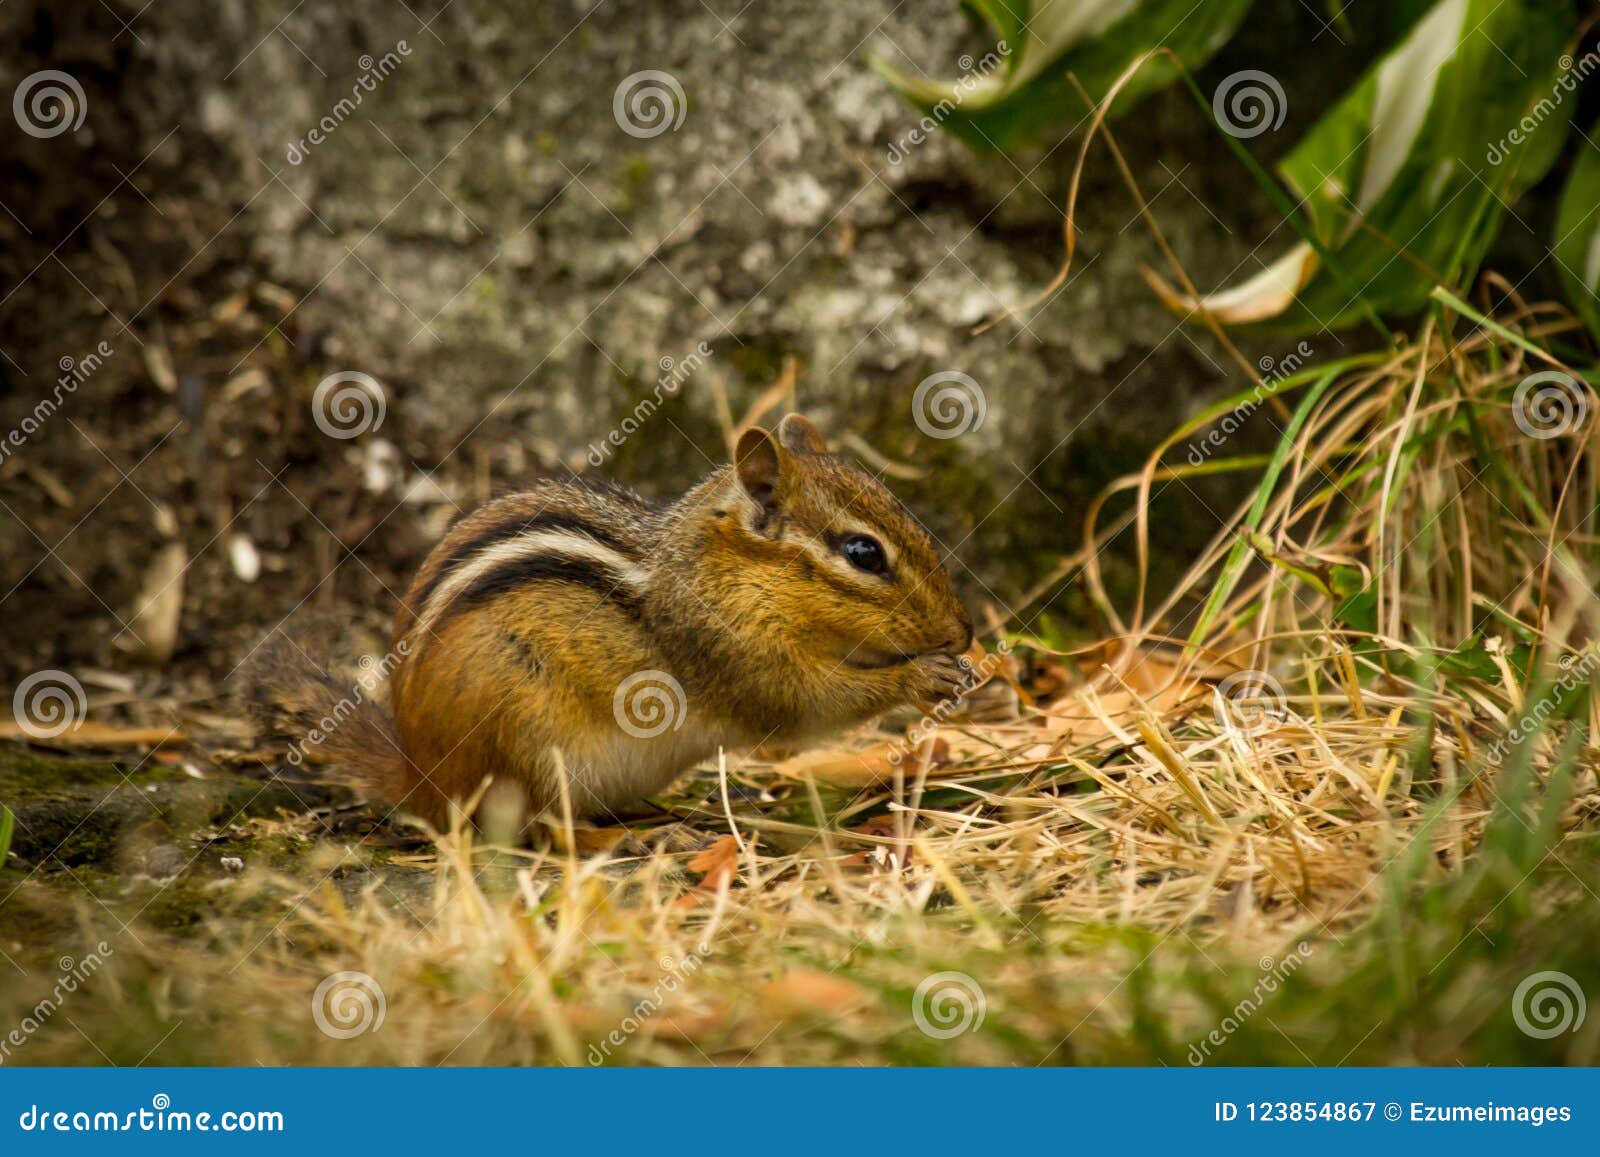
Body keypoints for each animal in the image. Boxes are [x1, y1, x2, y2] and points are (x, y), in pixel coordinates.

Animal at [250, 413, 973, 829]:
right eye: (863, 553)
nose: (964, 631)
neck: (716, 569)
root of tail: (421, 777)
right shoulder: (740, 659)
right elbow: (810, 704)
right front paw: (924, 676)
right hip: (525, 739)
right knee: (539, 833)